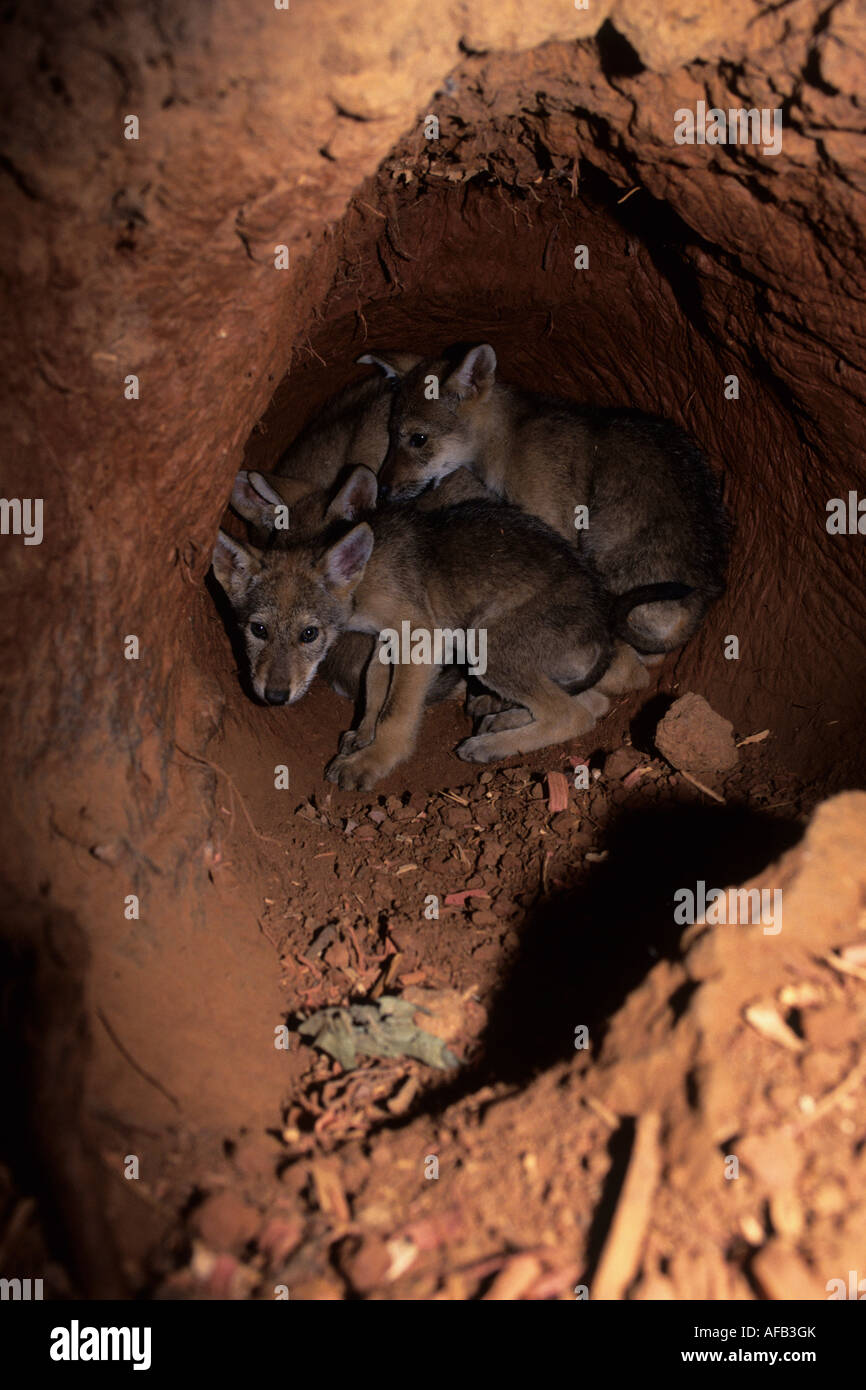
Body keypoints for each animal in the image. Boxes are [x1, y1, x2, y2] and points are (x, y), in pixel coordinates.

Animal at [212, 466, 690, 789]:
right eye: (257, 630)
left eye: (309, 634)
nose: (275, 696)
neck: (364, 574)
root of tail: (604, 620)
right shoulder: (389, 639)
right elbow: (374, 689)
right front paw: (362, 736)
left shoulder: (421, 637)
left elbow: (396, 712)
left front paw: (374, 761)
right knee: (589, 703)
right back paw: (502, 719)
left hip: (486, 646)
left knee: (575, 713)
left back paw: (488, 745)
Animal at [376, 343, 730, 657]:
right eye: (390, 434)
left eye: (419, 439)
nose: (382, 491)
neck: (510, 438)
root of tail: (704, 597)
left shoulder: (551, 519)